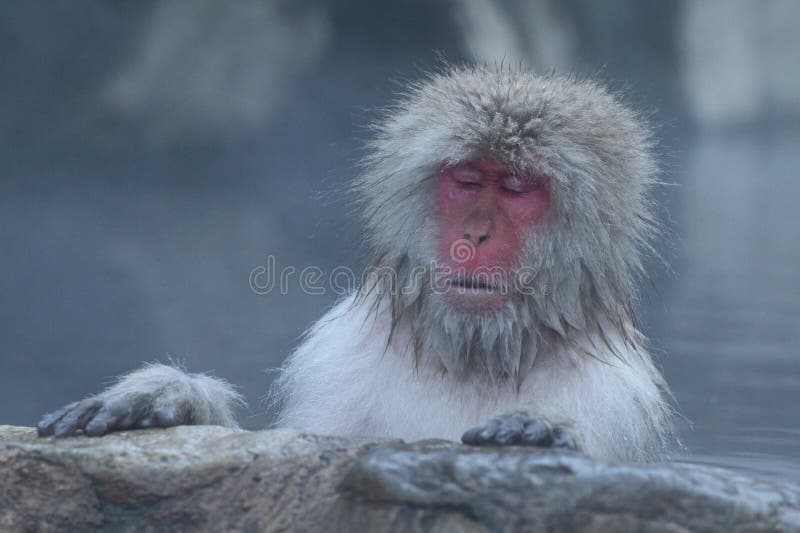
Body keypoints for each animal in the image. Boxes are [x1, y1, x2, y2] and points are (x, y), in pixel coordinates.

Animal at [38, 65, 674, 462]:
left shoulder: (617, 396)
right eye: (468, 180)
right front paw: (164, 398)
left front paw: (543, 428)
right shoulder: (337, 358)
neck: (477, 355)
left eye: (518, 189)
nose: (476, 233)